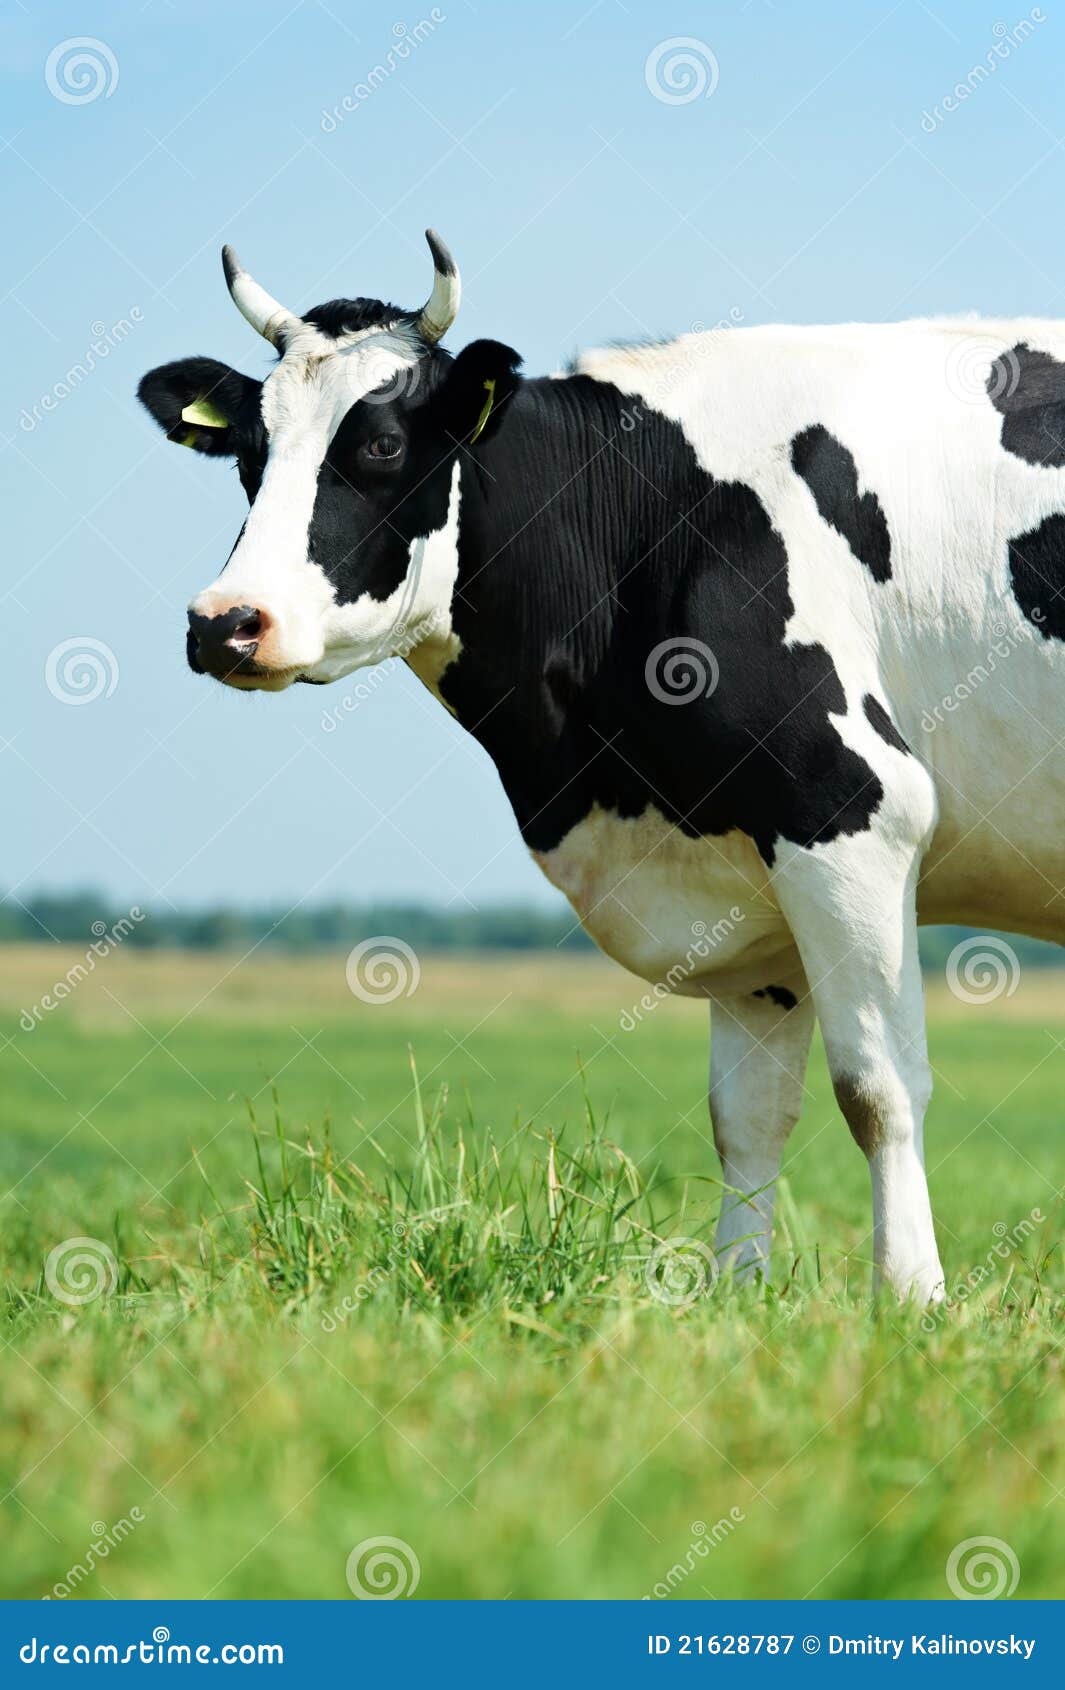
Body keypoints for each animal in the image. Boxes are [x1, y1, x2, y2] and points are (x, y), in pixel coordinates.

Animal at [138, 230, 1065, 1303]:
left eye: (379, 447)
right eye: (250, 454)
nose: (224, 623)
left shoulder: (848, 812)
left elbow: (876, 1091)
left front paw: (911, 1301)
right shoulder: (745, 879)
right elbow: (747, 1116)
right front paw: (737, 1299)